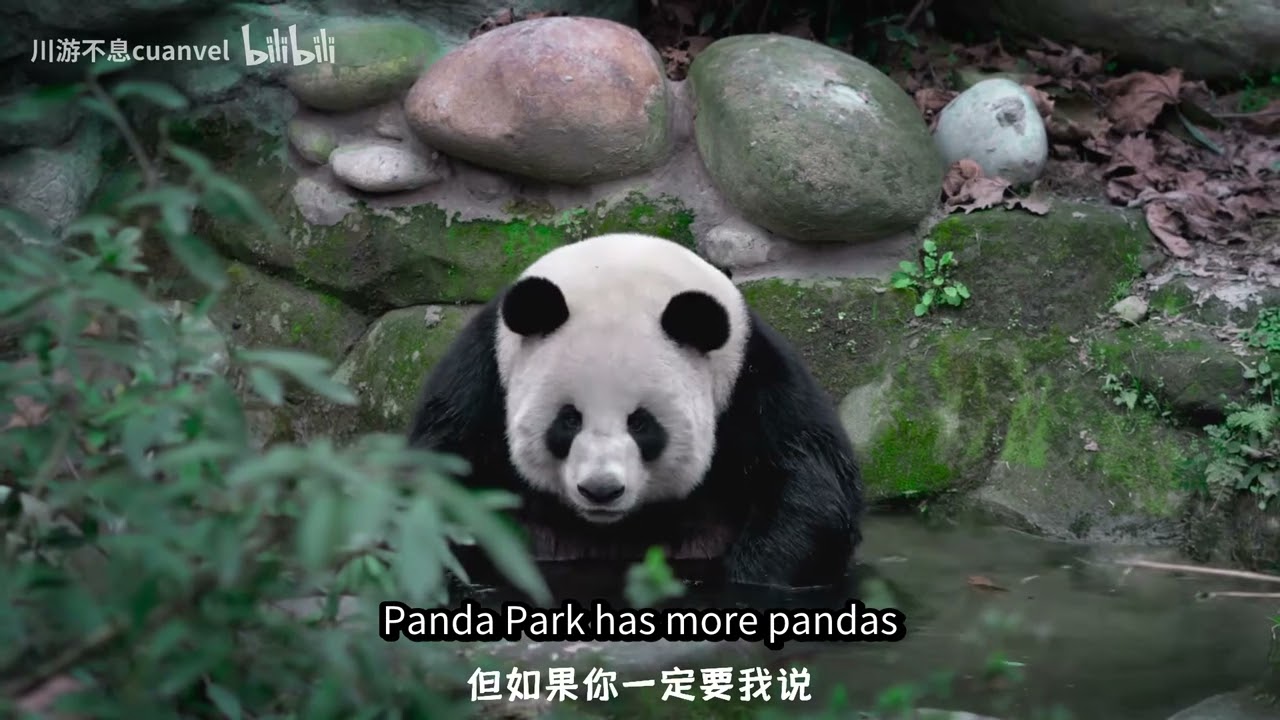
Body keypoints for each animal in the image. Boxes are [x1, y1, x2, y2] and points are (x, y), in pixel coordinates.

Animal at [407, 232, 863, 590]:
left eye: (641, 423)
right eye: (569, 419)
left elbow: (809, 485)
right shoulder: (483, 377)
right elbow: (442, 475)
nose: (601, 490)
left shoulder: (753, 380)